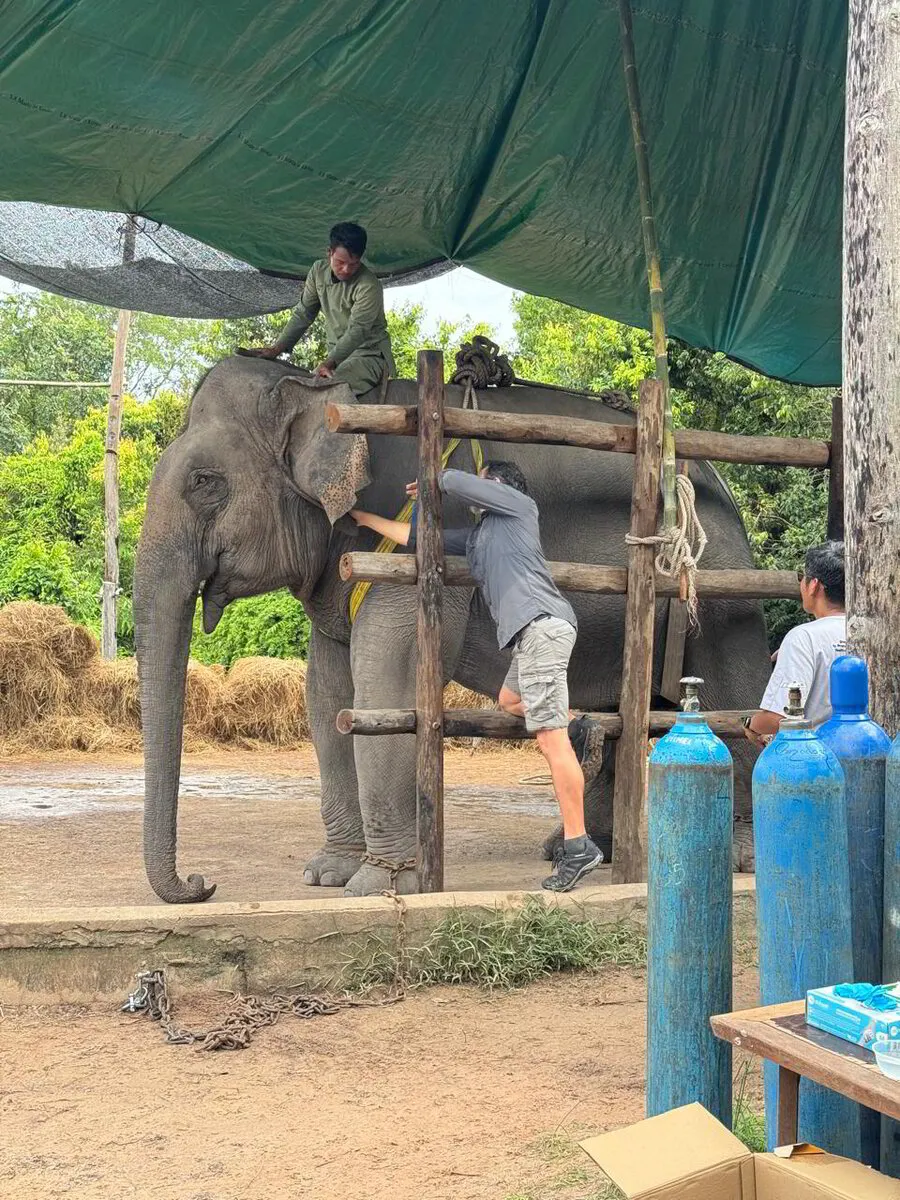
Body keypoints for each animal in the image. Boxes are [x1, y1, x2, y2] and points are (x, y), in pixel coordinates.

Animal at [134, 355, 771, 903]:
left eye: (205, 483)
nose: (201, 882)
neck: (330, 398)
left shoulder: (414, 555)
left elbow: (383, 681)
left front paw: (381, 886)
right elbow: (329, 694)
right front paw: (327, 875)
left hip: (720, 596)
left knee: (731, 697)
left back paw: (740, 855)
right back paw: (583, 845)